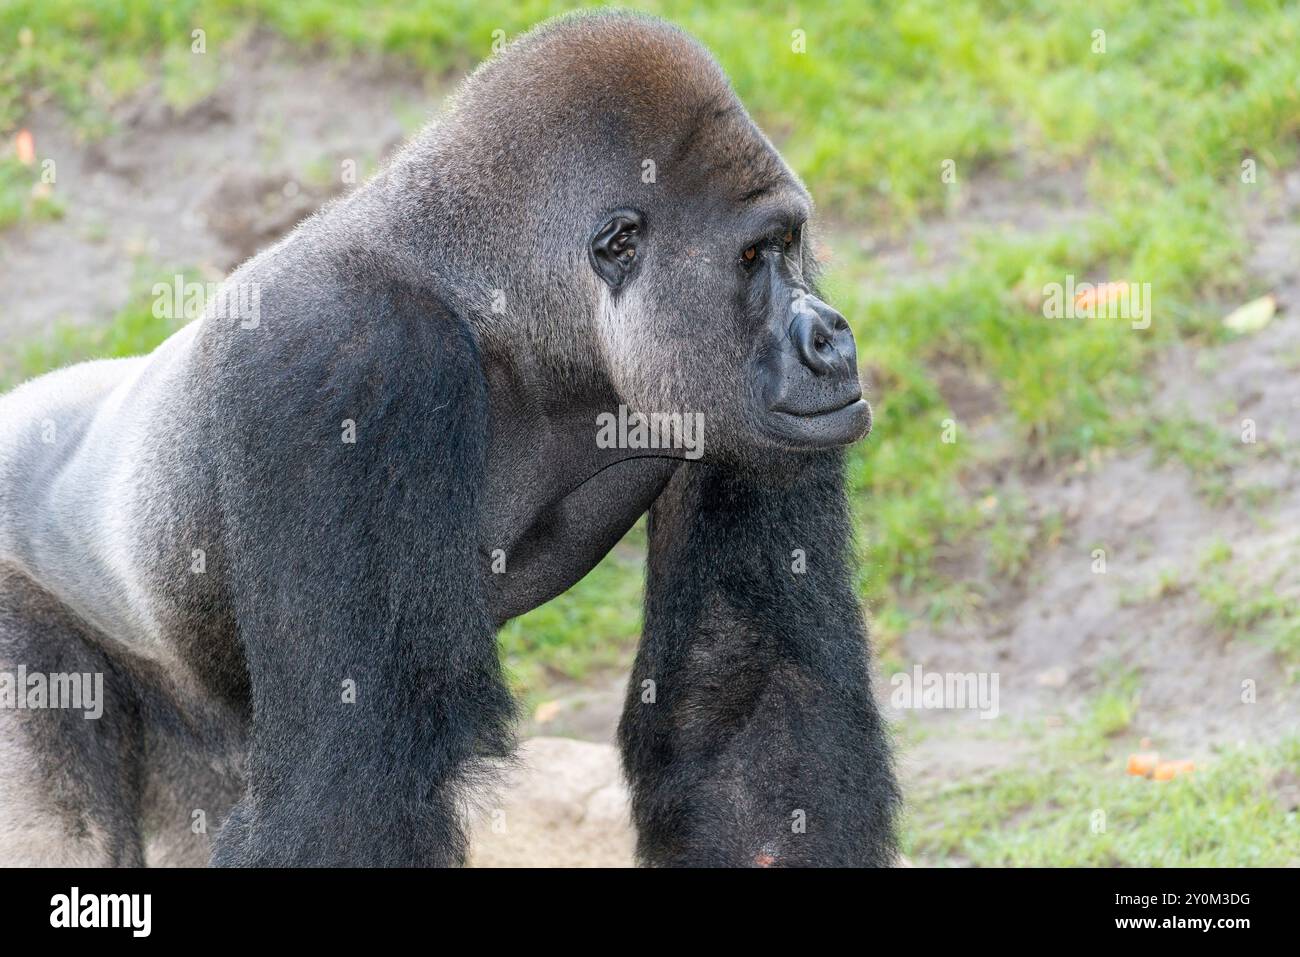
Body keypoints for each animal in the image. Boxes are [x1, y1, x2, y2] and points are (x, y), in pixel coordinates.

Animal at [0, 10, 898, 867]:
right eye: (751, 256)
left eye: (790, 245)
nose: (831, 336)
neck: (503, 302)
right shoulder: (354, 356)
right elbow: (350, 779)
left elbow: (746, 695)